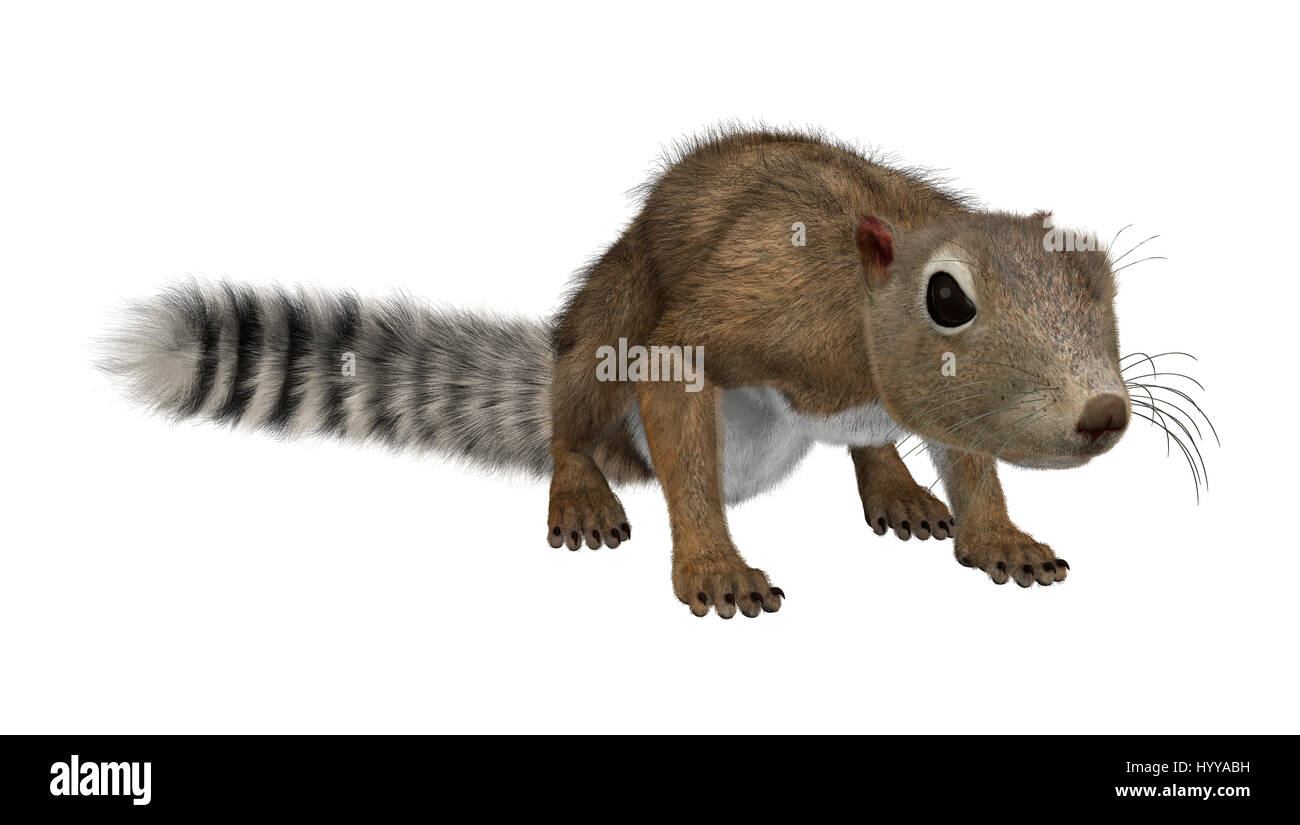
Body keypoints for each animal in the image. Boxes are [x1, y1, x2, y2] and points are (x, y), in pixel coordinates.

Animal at [103, 127, 1134, 618]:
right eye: (947, 299)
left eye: (1103, 280)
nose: (1105, 415)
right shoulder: (754, 304)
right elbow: (676, 386)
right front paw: (712, 563)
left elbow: (972, 459)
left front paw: (996, 534)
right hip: (601, 326)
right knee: (581, 408)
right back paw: (580, 487)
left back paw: (895, 484)